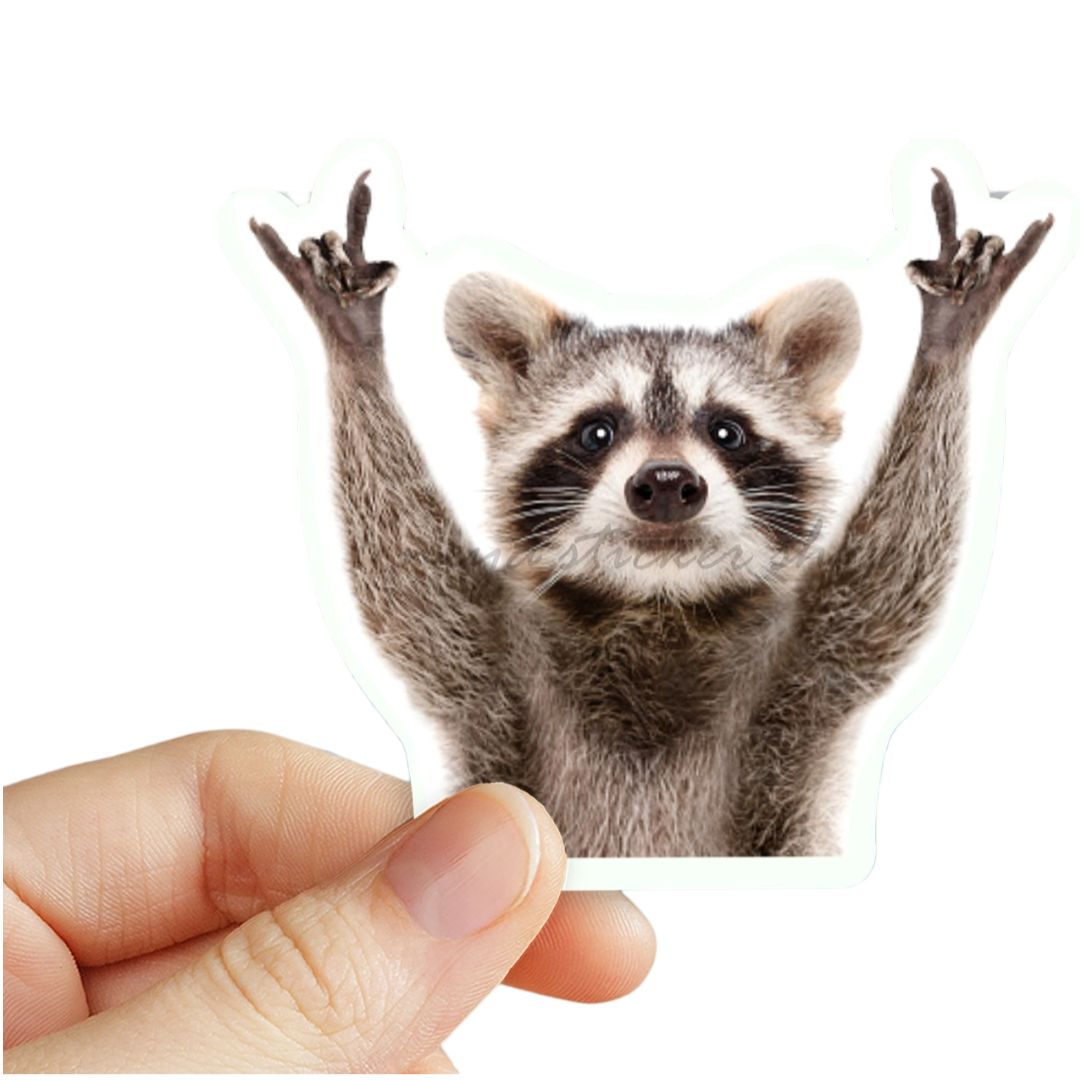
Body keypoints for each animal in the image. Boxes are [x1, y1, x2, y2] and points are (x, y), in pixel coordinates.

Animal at [251, 170, 1052, 857]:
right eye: (596, 431)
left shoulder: (810, 662)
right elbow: (406, 575)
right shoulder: (488, 657)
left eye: (726, 431)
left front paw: (946, 343)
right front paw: (353, 348)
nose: (666, 483)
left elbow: (894, 571)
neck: (658, 602)